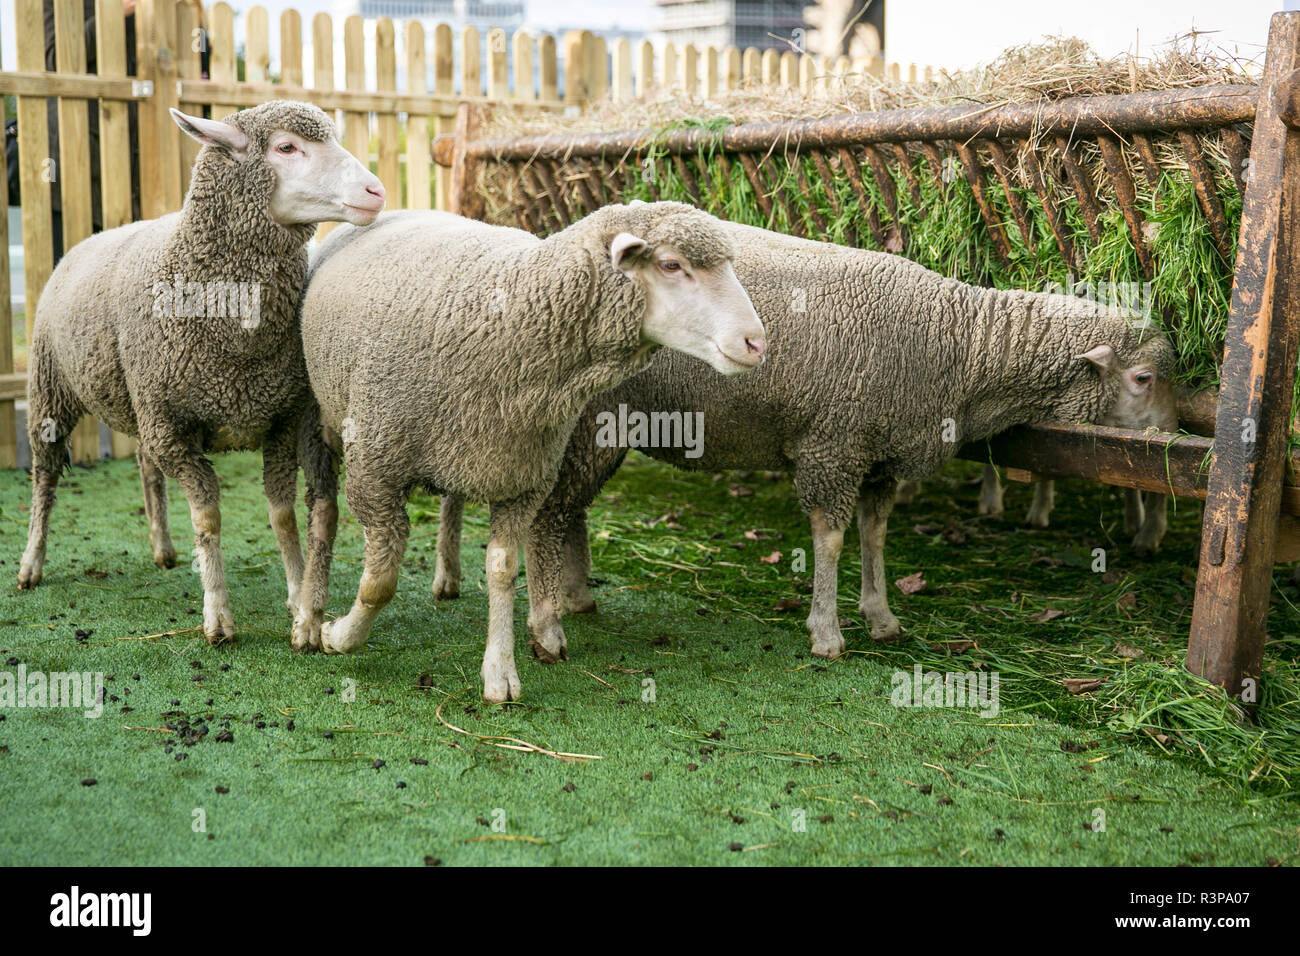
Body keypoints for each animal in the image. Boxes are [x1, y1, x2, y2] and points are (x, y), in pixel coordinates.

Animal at [18, 101, 386, 649]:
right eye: (286, 147)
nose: (376, 191)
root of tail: (95, 236)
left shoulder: (277, 418)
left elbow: (282, 517)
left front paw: (299, 598)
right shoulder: (174, 432)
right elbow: (207, 518)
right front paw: (218, 617)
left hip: (139, 404)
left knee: (145, 466)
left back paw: (163, 549)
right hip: (50, 390)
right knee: (44, 478)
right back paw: (31, 563)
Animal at [296, 202, 767, 702]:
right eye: (672, 265)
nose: (757, 343)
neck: (511, 321)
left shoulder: (521, 478)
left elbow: (503, 570)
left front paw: (499, 671)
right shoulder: (375, 474)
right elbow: (380, 583)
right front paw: (339, 636)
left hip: (469, 447)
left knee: (450, 500)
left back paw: (447, 575)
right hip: (320, 418)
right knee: (322, 513)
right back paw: (307, 620)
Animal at [432, 221, 1178, 662]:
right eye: (1141, 378)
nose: (1174, 440)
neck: (959, 342)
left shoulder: (880, 457)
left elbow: (875, 537)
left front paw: (881, 616)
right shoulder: (833, 446)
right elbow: (831, 540)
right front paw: (827, 632)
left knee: (571, 511)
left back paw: (577, 594)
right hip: (587, 423)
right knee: (551, 513)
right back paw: (548, 623)